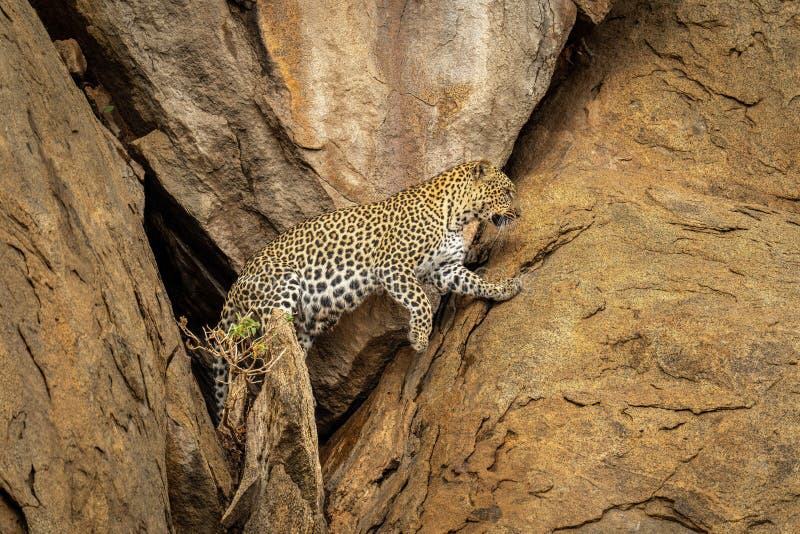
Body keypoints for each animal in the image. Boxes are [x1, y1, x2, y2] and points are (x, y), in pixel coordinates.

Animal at [211, 160, 522, 417]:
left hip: (308, 322)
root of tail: (235, 284)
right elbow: (421, 300)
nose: (519, 214)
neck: (458, 215)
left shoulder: (445, 269)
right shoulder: (392, 265)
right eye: (507, 192)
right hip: (282, 285)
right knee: (266, 347)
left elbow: (475, 282)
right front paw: (419, 337)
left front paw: (504, 288)